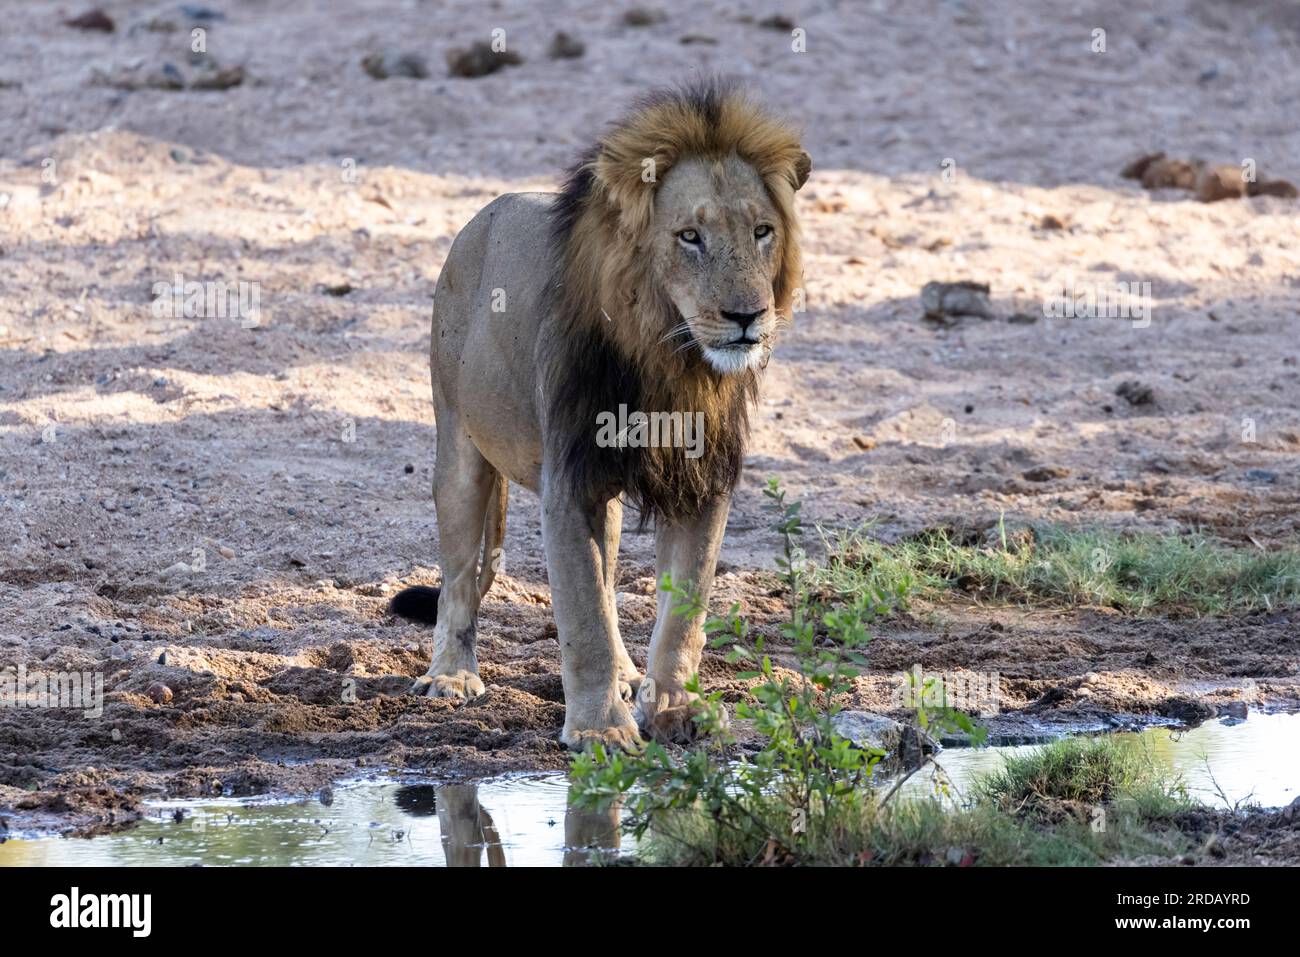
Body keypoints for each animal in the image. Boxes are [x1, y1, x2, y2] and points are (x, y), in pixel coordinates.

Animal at [390, 79, 811, 750]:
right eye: (689, 237)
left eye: (762, 231)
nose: (748, 316)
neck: (670, 357)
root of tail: (484, 214)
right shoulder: (569, 483)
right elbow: (582, 613)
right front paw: (600, 731)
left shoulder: (701, 482)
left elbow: (683, 609)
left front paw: (676, 709)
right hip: (458, 443)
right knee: (458, 577)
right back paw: (451, 676)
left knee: (609, 582)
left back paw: (625, 676)